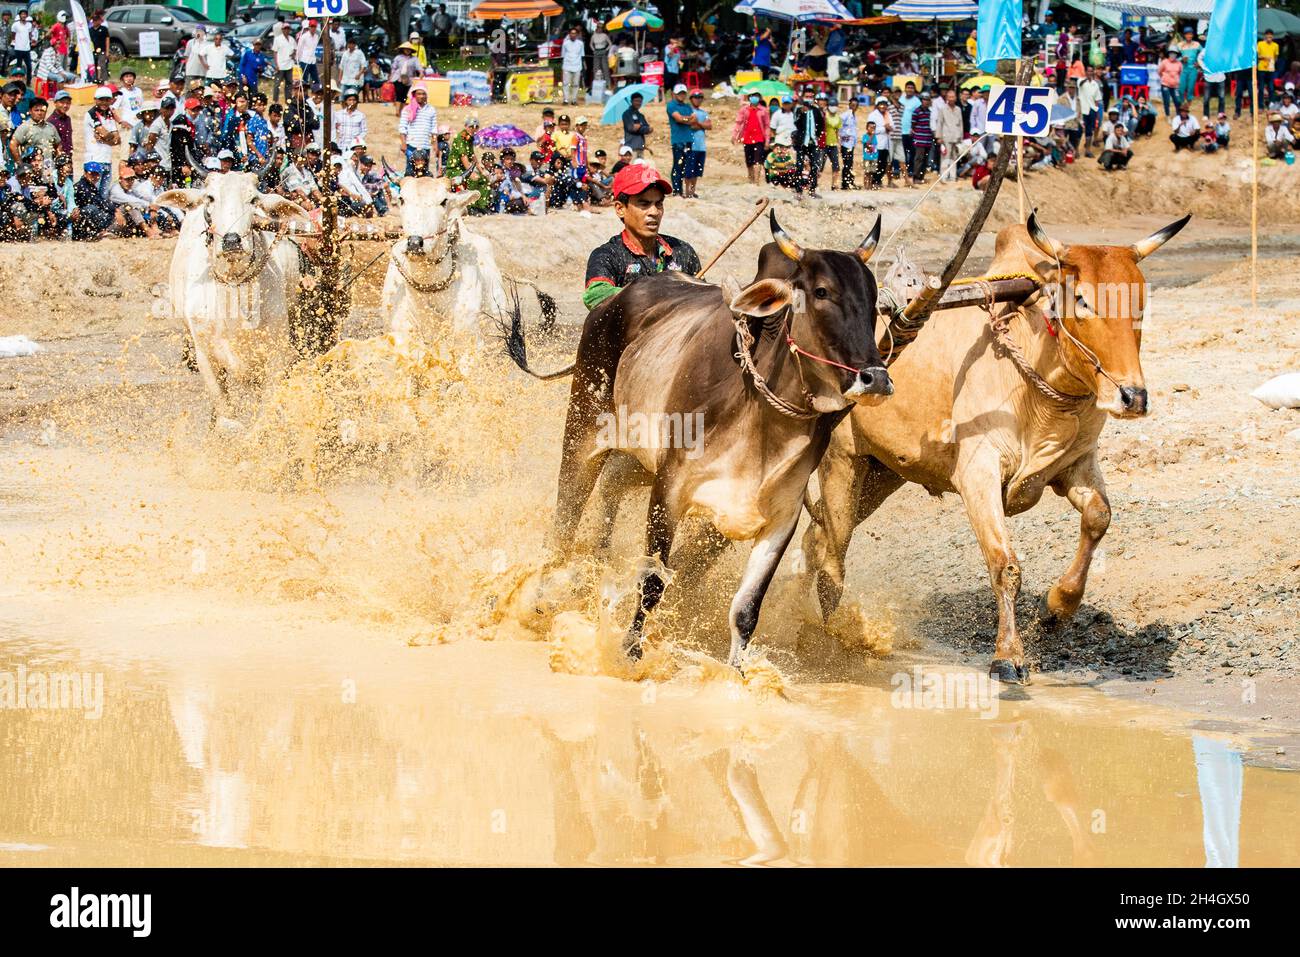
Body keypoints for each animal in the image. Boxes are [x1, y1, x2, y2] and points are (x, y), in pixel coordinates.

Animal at [158, 154, 312, 424]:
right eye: (210, 198)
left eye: (253, 199)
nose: (232, 241)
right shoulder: (207, 356)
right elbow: (225, 413)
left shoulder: (275, 353)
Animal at [507, 213, 891, 668]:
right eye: (821, 292)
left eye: (873, 297)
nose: (876, 378)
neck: (760, 414)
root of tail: (613, 303)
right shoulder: (669, 487)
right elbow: (653, 580)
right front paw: (630, 654)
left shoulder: (783, 512)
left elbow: (746, 610)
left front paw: (737, 674)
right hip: (584, 430)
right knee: (564, 520)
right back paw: (540, 598)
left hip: (635, 458)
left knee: (608, 493)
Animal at [802, 212, 1191, 683]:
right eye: (1081, 299)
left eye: (1140, 302)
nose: (1132, 397)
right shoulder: (978, 473)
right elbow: (1005, 564)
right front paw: (1008, 655)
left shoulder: (1077, 463)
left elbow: (1099, 517)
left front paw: (1057, 608)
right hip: (843, 462)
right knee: (832, 562)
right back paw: (824, 640)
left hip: (884, 473)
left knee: (815, 538)